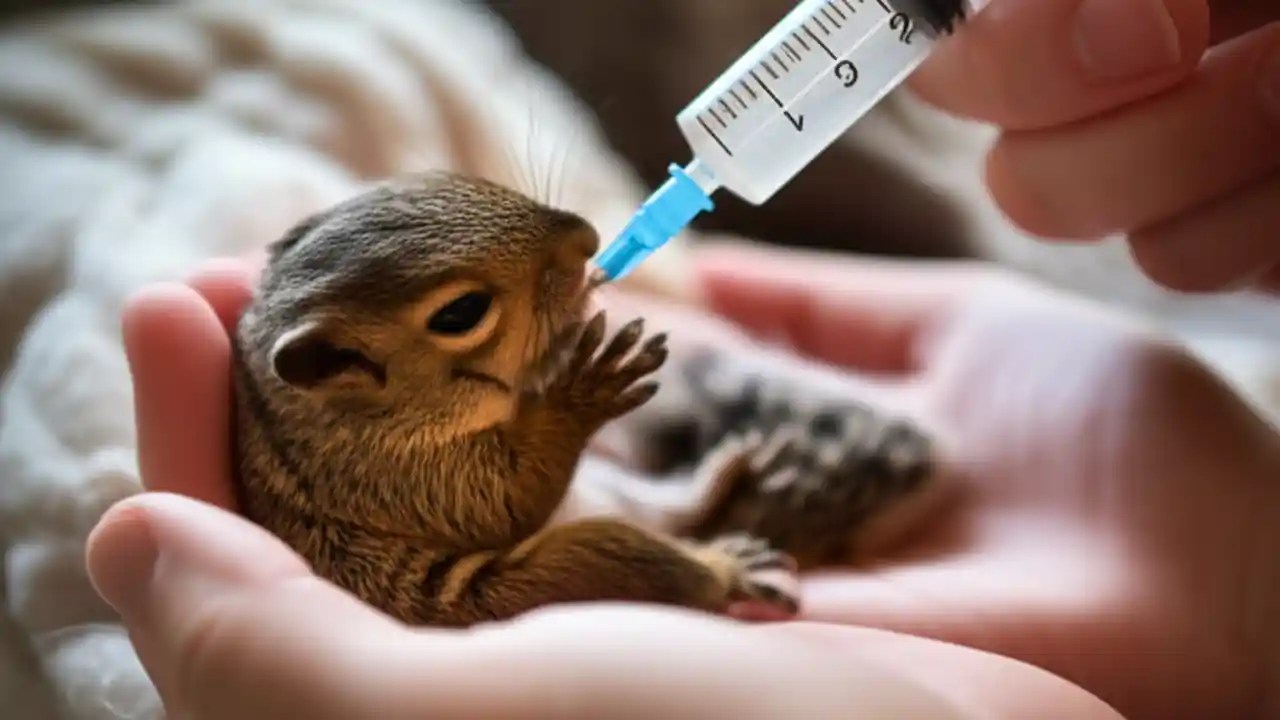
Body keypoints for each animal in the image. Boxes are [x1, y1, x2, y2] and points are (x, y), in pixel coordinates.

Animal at [231, 171, 803, 627]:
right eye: (461, 312)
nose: (588, 239)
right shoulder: (394, 479)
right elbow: (507, 503)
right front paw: (584, 393)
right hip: (593, 563)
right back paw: (727, 569)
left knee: (673, 507)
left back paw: (724, 471)